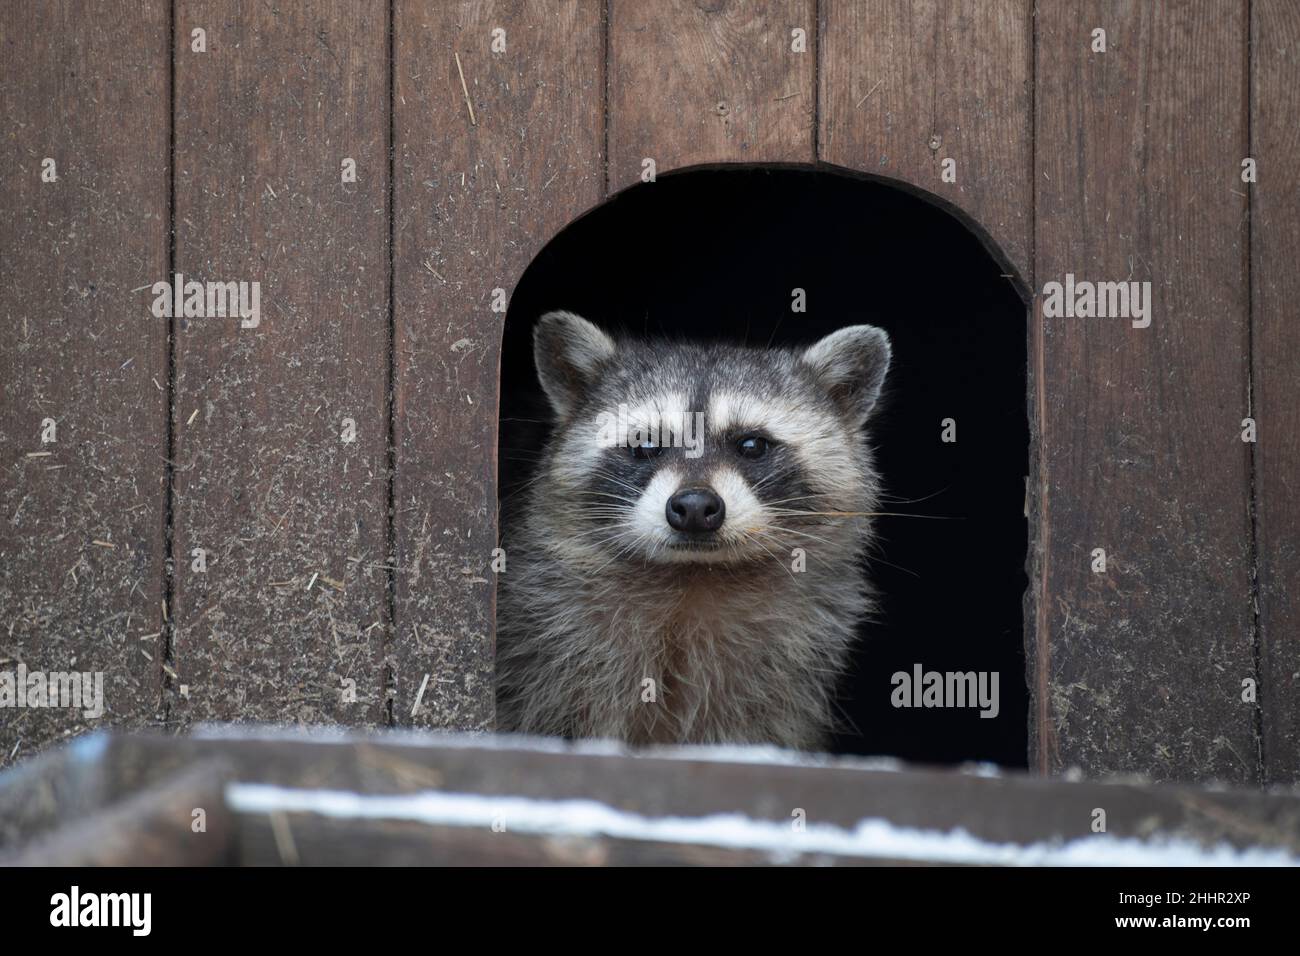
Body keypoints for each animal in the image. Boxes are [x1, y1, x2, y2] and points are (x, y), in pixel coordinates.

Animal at [496, 311, 892, 750]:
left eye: (752, 445)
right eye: (645, 445)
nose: (695, 508)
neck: (694, 575)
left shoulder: (787, 662)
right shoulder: (546, 639)